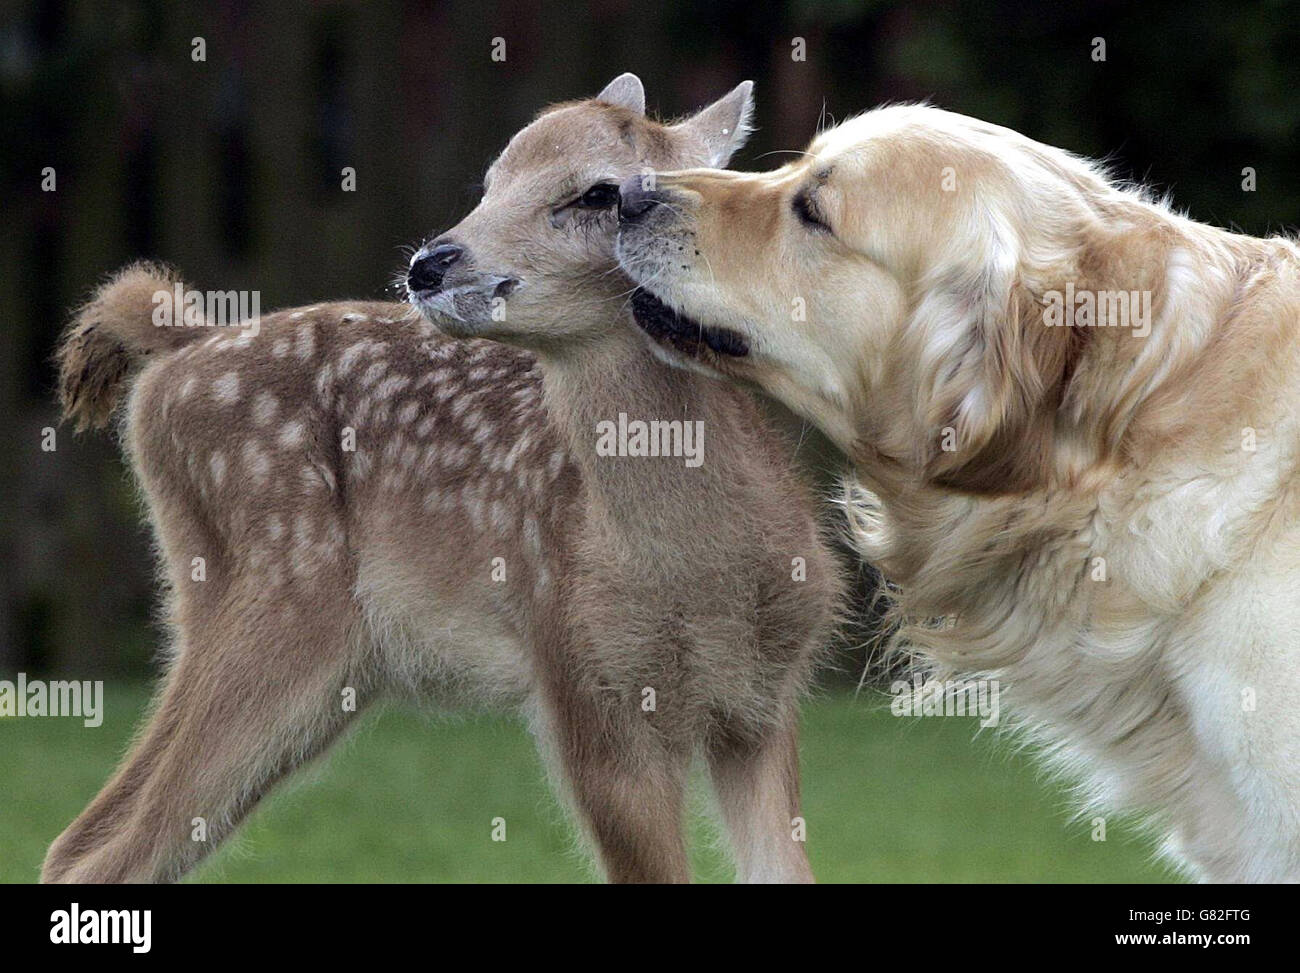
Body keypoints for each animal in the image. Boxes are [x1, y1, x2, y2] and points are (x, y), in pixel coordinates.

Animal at [43, 74, 842, 884]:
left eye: (601, 193)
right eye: (491, 180)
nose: (431, 262)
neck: (703, 579)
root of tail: (177, 351)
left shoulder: (765, 702)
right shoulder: (578, 678)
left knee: (84, 838)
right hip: (276, 592)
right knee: (101, 850)